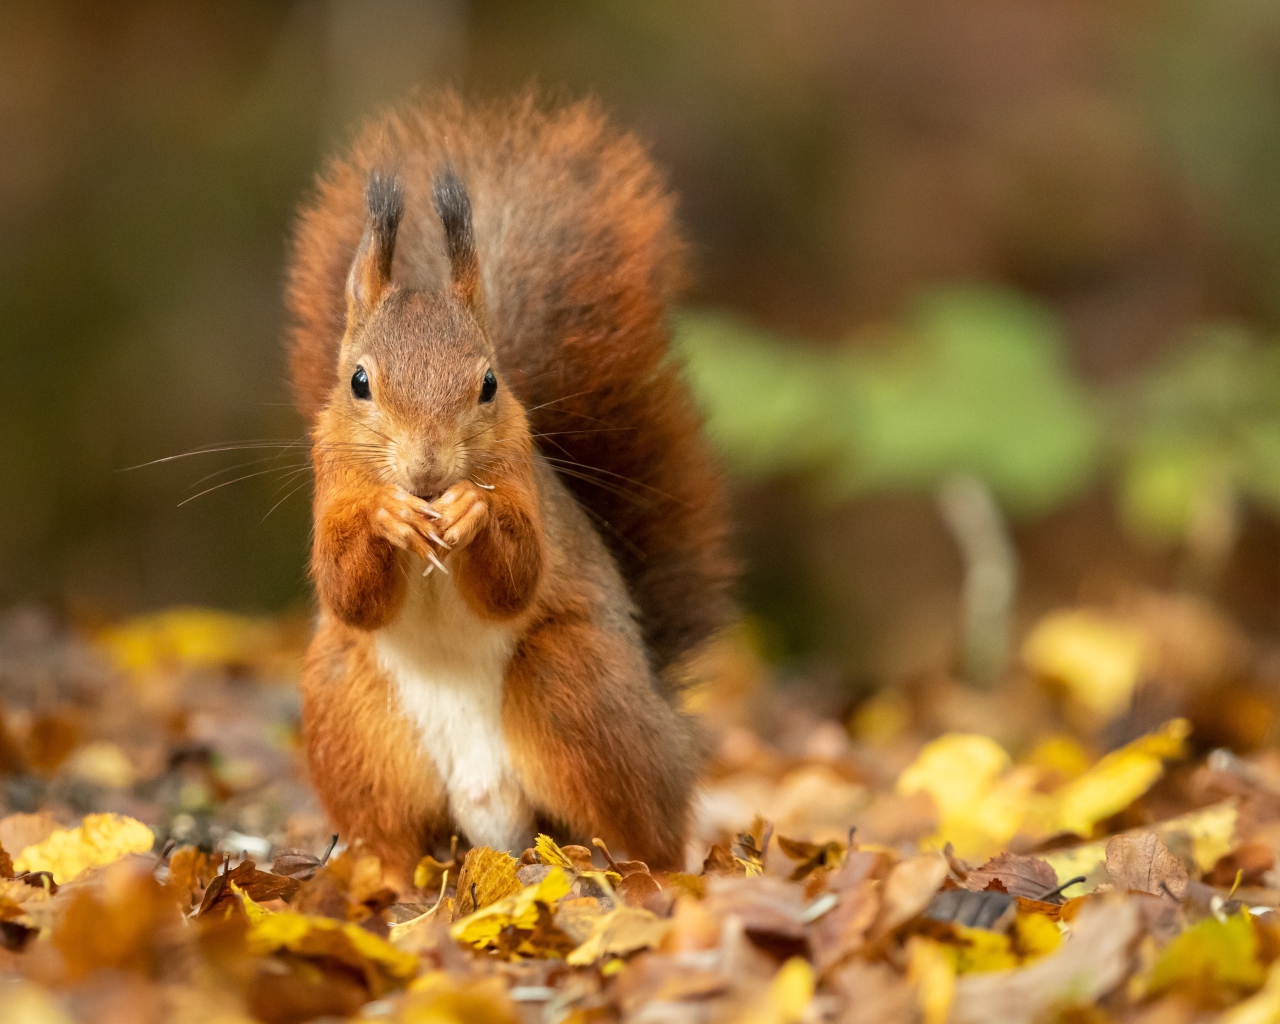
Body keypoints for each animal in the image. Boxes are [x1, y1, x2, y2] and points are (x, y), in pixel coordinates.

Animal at [284, 92, 735, 883]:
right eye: (359, 382)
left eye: (490, 383)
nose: (428, 471)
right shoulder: (329, 483)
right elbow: (346, 588)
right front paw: (388, 514)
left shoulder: (522, 474)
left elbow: (517, 576)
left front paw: (471, 510)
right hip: (351, 714)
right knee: (393, 831)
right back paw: (389, 876)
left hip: (574, 685)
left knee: (645, 832)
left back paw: (624, 869)